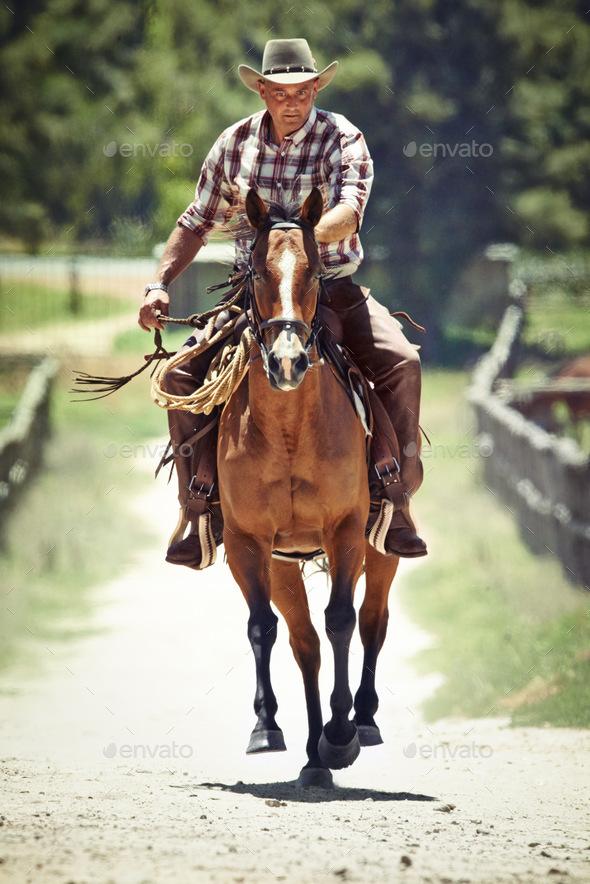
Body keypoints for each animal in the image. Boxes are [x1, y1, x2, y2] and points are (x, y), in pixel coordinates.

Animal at [217, 188, 400, 788]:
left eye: (317, 272)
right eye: (255, 270)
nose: (288, 362)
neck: (290, 433)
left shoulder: (345, 531)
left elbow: (343, 620)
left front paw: (342, 736)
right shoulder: (249, 542)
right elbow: (263, 629)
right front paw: (267, 726)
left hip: (382, 547)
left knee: (372, 621)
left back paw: (360, 722)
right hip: (282, 563)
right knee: (304, 645)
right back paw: (313, 759)